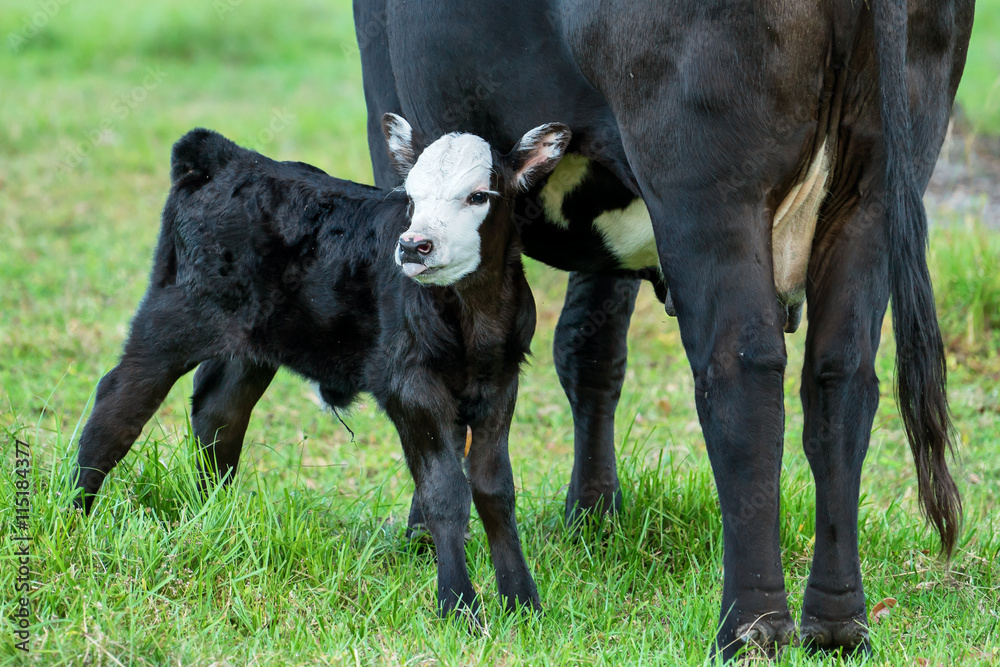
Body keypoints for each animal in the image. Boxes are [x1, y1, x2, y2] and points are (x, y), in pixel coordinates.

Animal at [72, 120, 573, 618]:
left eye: (478, 196)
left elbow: (494, 491)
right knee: (119, 403)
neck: (473, 317)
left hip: (249, 347)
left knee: (219, 414)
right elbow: (444, 491)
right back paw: (76, 516)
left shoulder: (499, 384)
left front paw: (523, 602)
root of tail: (225, 157)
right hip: (174, 314)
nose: (414, 246)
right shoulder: (407, 385)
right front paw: (458, 606)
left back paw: (211, 519)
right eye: (410, 197)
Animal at [345, 0, 974, 658]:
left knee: (741, 373)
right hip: (872, 190)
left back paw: (749, 629)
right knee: (841, 378)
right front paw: (593, 515)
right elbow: (588, 347)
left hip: (706, 187)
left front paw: (424, 531)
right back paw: (837, 627)